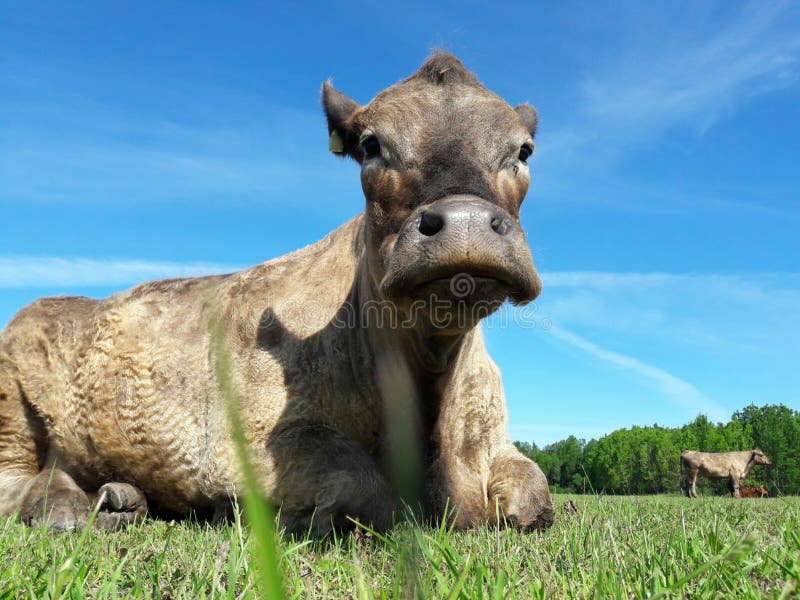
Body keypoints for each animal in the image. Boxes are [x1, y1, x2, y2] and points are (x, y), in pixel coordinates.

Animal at [0, 53, 554, 534]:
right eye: (371, 145)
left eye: (524, 150)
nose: (466, 223)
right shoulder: (245, 443)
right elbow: (364, 488)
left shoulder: (496, 438)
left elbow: (537, 493)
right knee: (15, 480)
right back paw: (62, 503)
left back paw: (119, 497)